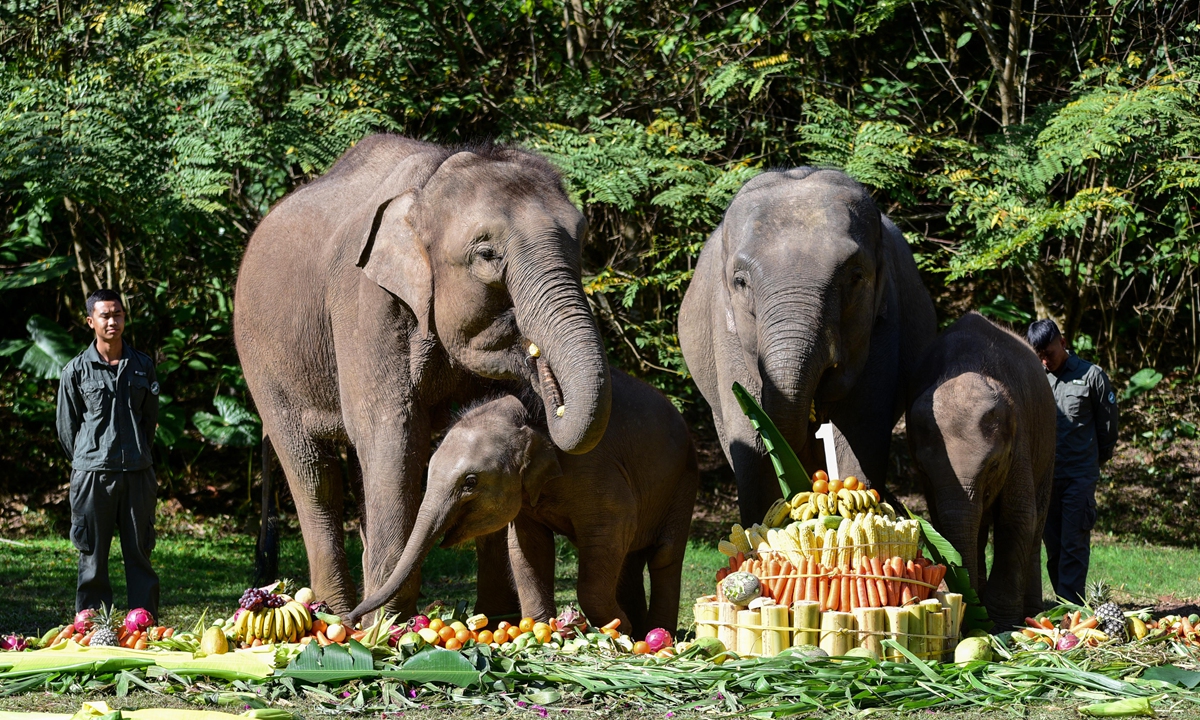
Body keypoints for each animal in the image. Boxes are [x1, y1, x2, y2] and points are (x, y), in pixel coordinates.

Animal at [234, 135, 612, 616]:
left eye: (580, 242)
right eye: (487, 255)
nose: (546, 377)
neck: (430, 184)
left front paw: (495, 620)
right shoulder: (367, 304)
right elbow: (391, 433)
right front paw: (388, 625)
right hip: (262, 361)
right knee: (315, 474)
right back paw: (332, 614)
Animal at [346, 369, 699, 637]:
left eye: (470, 482)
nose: (350, 619)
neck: (526, 414)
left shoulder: (596, 472)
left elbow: (609, 533)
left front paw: (618, 630)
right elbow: (526, 548)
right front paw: (542, 632)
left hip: (683, 482)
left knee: (664, 555)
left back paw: (655, 633)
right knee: (630, 559)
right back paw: (641, 630)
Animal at [678, 168, 937, 526]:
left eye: (856, 277)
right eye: (740, 282)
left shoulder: (884, 330)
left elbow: (858, 436)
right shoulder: (726, 334)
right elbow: (751, 445)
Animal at [906, 312, 1056, 630]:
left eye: (993, 465)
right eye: (922, 469)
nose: (969, 609)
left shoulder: (1019, 440)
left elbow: (1017, 517)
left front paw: (1003, 622)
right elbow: (945, 521)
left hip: (1048, 444)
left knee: (1037, 519)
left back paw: (1034, 612)